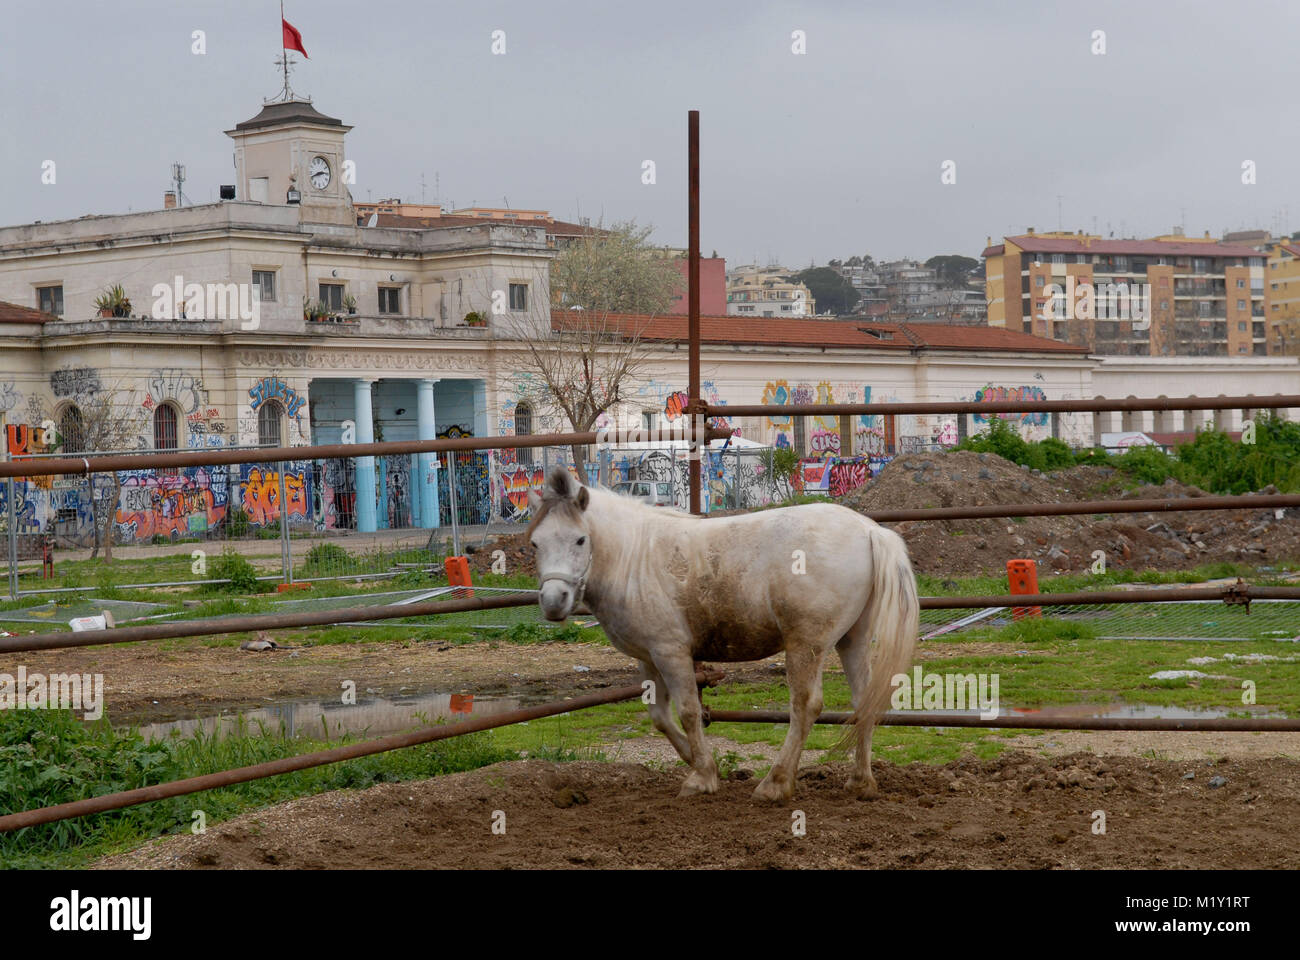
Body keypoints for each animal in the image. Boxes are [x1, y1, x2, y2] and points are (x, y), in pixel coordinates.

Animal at [526, 465, 920, 802]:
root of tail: (869, 530)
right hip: (852, 640)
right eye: (535, 543)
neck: (634, 557)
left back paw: (776, 783)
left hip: (807, 645)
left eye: (580, 540)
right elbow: (660, 717)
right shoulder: (649, 658)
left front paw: (701, 776)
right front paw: (700, 763)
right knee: (864, 700)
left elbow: (687, 711)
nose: (554, 601)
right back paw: (860, 781)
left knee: (805, 707)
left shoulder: (672, 652)